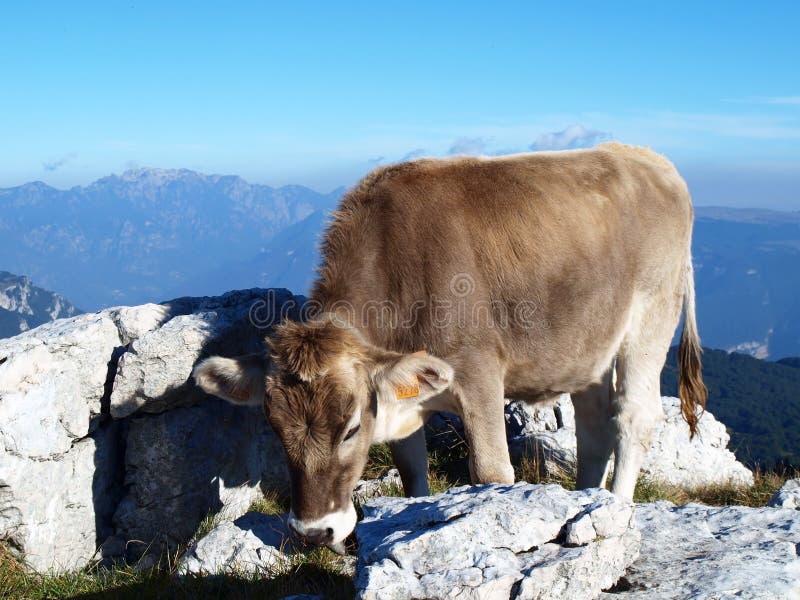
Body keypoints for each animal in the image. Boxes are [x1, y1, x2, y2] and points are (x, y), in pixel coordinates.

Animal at [193, 142, 706, 551]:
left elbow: (492, 472)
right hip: (588, 345)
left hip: (652, 314)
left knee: (633, 416)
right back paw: (587, 502)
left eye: (351, 428)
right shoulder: (400, 393)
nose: (315, 532)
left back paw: (616, 507)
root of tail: (647, 157)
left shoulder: (478, 374)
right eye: (275, 428)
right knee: (594, 423)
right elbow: (411, 471)